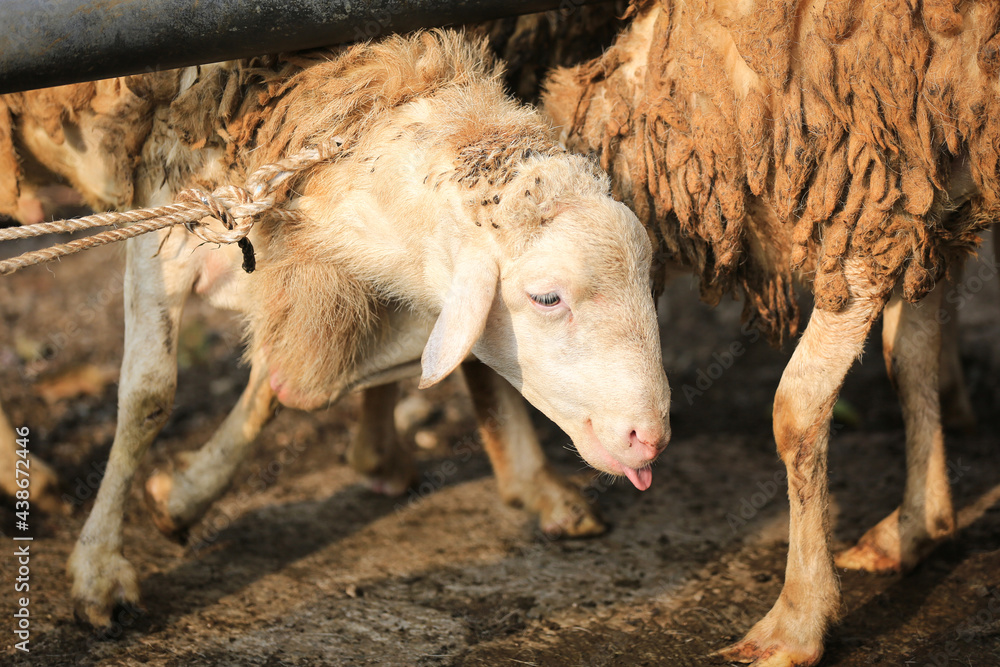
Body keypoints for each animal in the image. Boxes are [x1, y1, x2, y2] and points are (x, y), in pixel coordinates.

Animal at [1, 30, 671, 629]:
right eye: (547, 297)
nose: (651, 438)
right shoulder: (167, 203)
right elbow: (148, 394)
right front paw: (101, 574)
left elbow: (302, 378)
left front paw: (183, 493)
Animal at [542, 1, 996, 664]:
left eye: (550, 296)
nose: (637, 440)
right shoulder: (918, 193)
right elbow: (909, 360)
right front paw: (918, 526)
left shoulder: (865, 203)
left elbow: (797, 411)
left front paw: (797, 620)